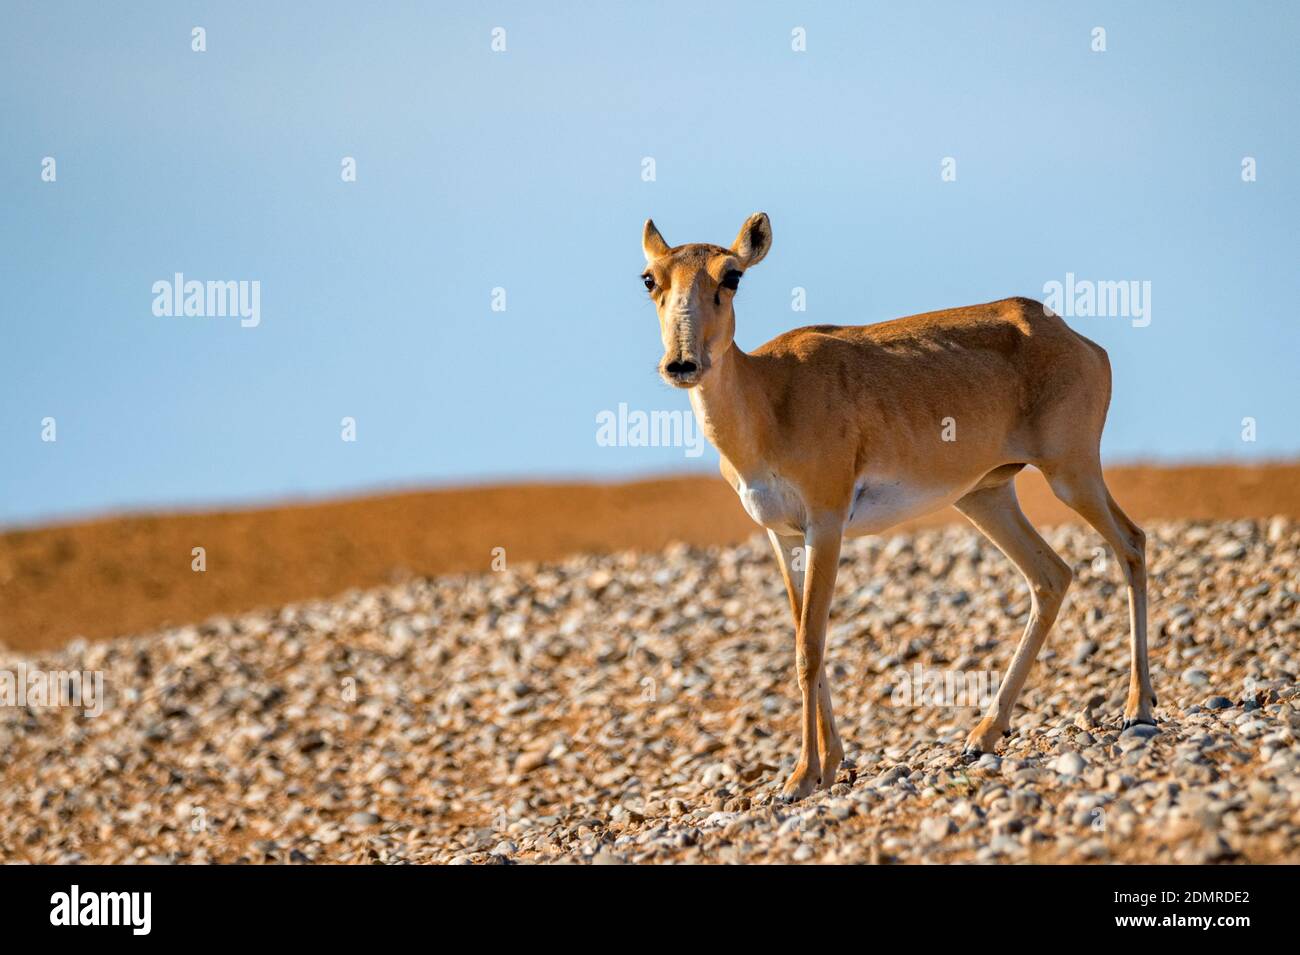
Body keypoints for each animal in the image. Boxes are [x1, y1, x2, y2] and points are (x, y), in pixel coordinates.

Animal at [641, 213, 1153, 802]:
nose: (682, 364)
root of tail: (1081, 341)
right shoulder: (783, 536)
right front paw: (829, 765)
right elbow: (803, 638)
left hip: (1071, 474)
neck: (769, 395)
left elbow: (809, 646)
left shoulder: (827, 523)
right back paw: (982, 735)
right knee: (1052, 575)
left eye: (732, 276)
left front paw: (799, 778)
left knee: (1131, 543)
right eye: (651, 278)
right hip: (986, 495)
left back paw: (1138, 709)